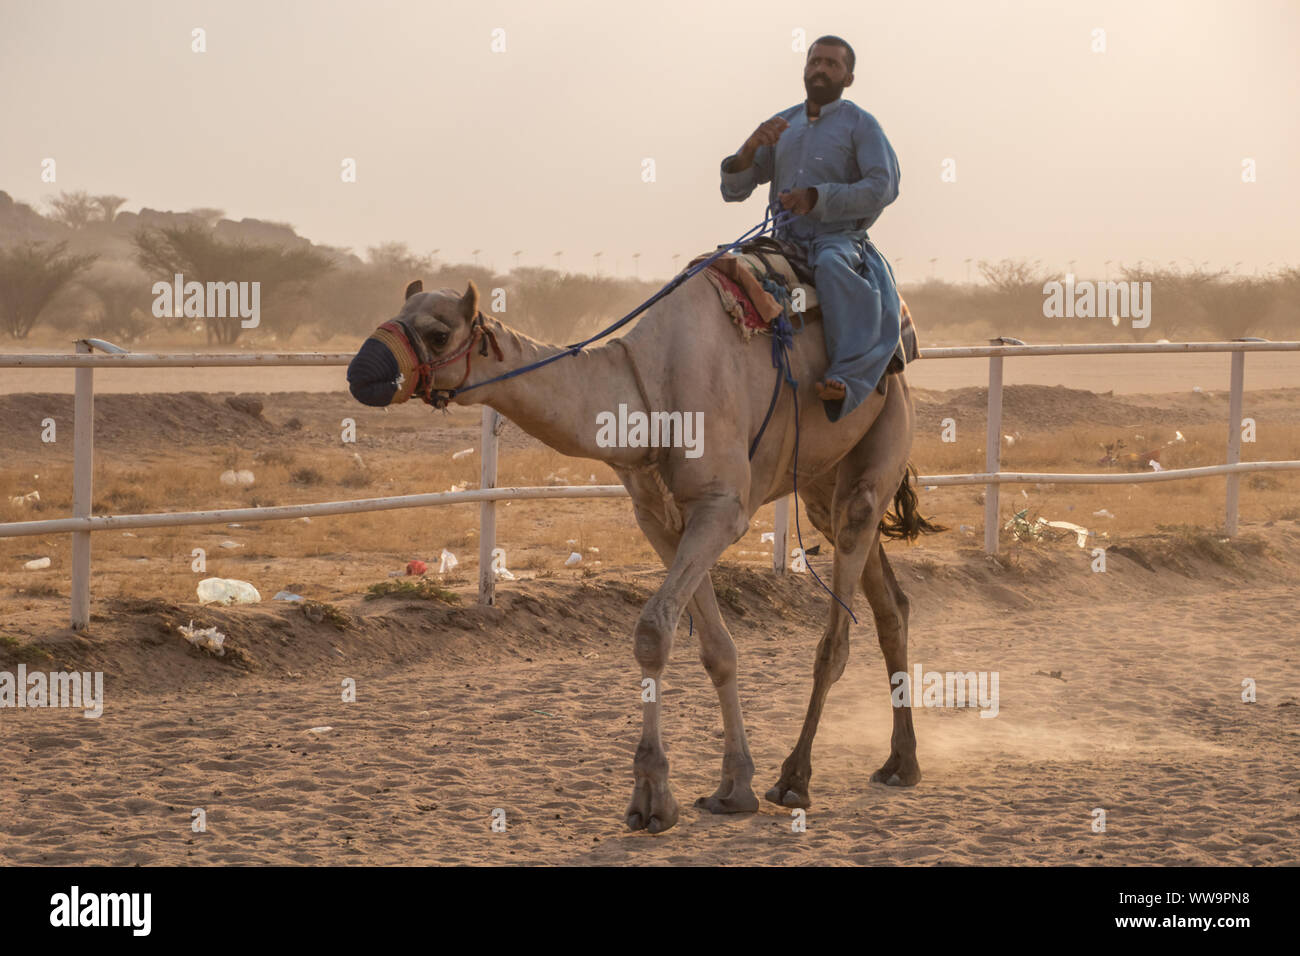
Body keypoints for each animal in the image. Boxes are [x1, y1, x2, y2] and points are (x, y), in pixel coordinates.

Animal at [347, 273, 941, 833]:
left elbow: (654, 632)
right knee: (889, 600)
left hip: (884, 436)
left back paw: (796, 777)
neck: (649, 394)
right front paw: (732, 789)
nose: (360, 371)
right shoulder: (659, 519)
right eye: (398, 313)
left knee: (839, 623)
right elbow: (717, 649)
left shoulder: (721, 509)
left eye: (438, 332)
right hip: (821, 481)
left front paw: (653, 801)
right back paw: (901, 763)